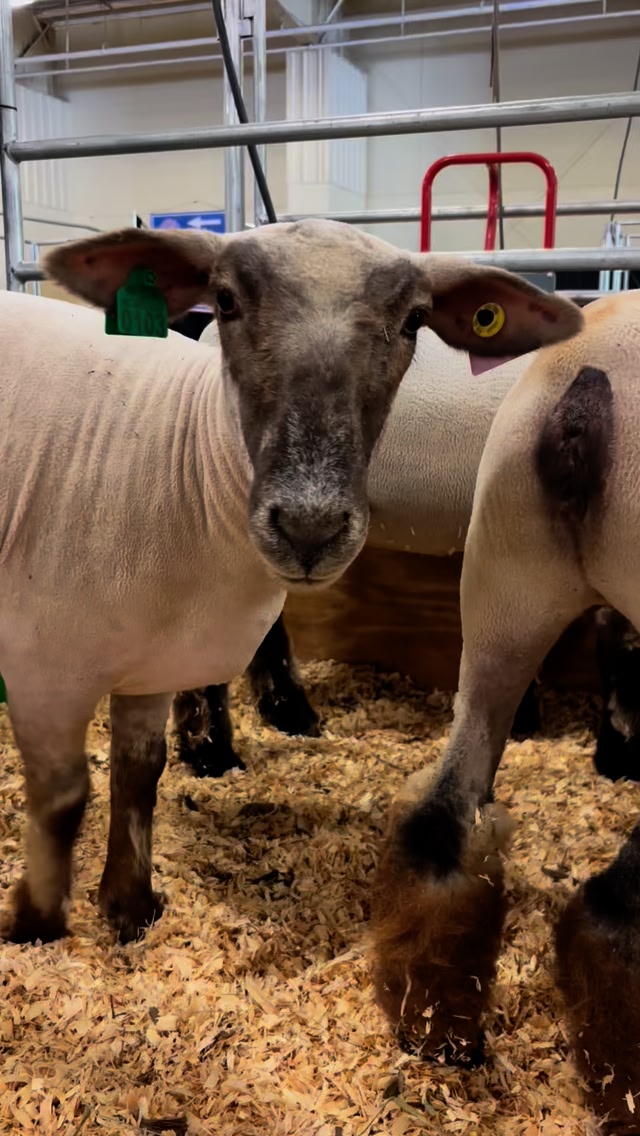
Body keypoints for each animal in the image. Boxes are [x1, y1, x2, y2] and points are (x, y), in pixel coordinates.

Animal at [0, 217, 581, 948]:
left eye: (414, 320)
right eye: (226, 298)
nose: (310, 526)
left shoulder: (148, 659)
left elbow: (138, 772)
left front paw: (130, 909)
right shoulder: (43, 665)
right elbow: (63, 794)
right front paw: (34, 924)